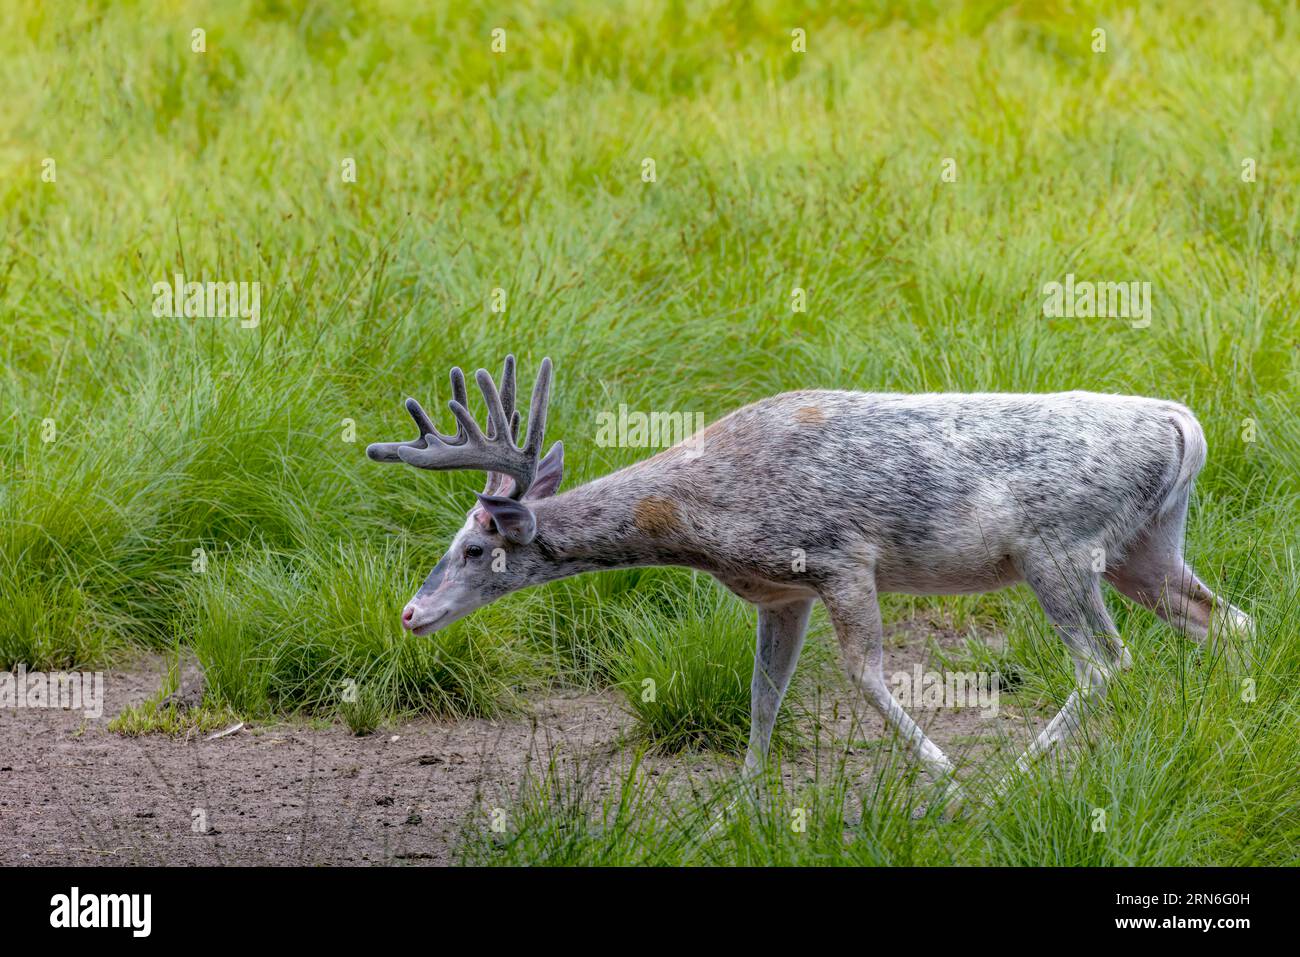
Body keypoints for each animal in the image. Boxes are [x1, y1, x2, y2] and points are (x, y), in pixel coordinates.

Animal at [367, 355, 1254, 800]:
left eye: (475, 547)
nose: (409, 613)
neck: (702, 516)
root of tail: (1184, 423)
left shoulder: (839, 556)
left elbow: (864, 674)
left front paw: (949, 778)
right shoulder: (783, 591)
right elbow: (765, 696)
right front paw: (739, 806)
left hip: (1059, 550)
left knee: (1107, 659)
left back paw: (1018, 772)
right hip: (1146, 549)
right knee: (1229, 621)